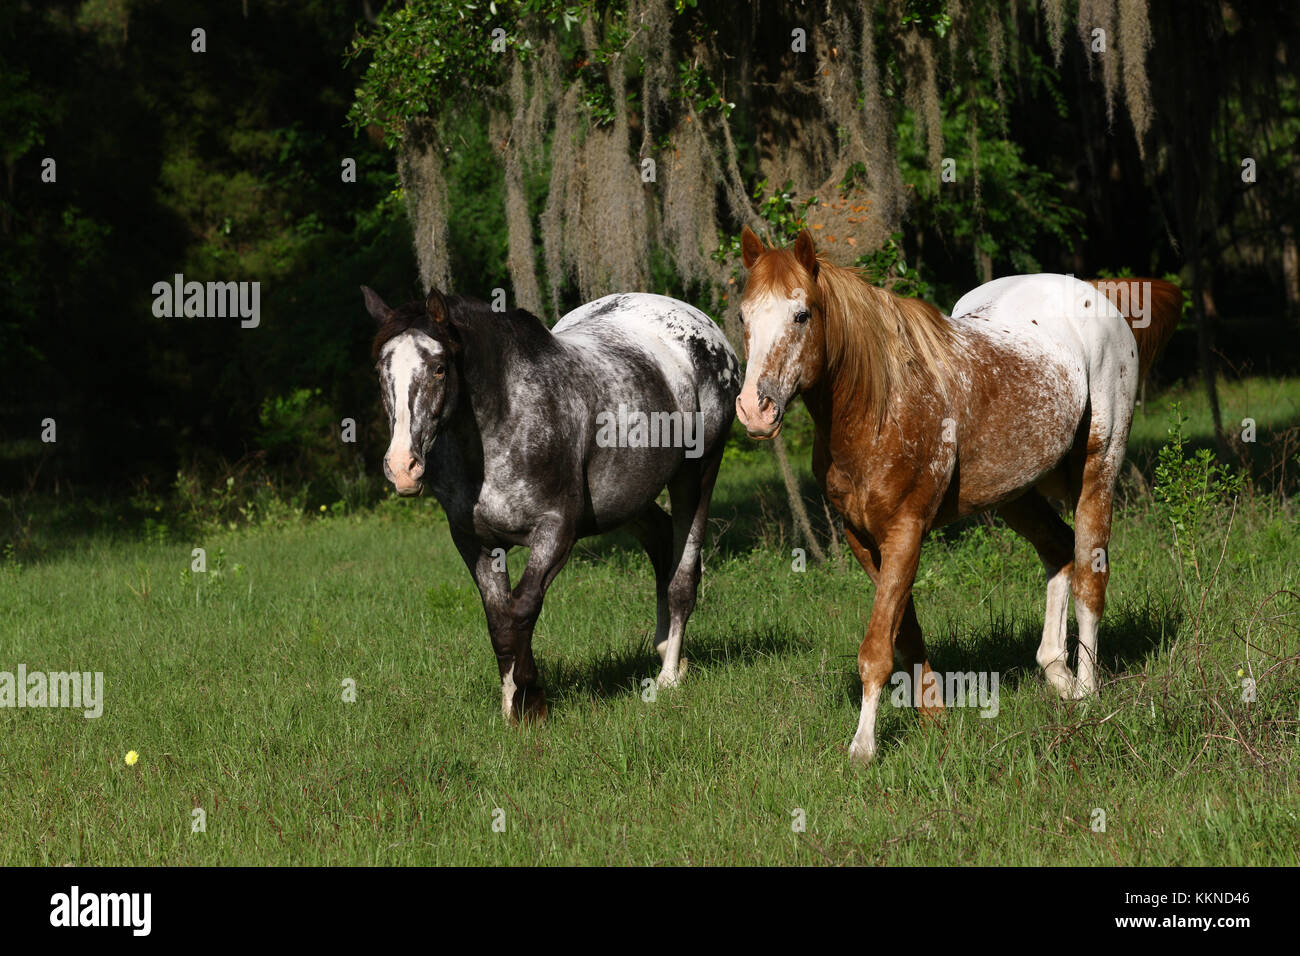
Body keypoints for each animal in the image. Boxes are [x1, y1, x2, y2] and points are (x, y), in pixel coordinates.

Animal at [362, 286, 740, 721]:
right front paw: (510, 707)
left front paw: (530, 702)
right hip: (627, 498)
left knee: (682, 578)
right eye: (381, 371)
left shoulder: (556, 531)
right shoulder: (475, 543)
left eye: (440, 368)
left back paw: (668, 678)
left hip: (697, 475)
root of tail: (704, 326)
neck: (501, 425)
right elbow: (499, 623)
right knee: (662, 546)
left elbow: (522, 608)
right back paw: (667, 656)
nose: (402, 468)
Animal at [734, 227, 1179, 764]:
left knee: (1090, 579)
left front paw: (863, 747)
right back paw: (1060, 676)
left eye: (802, 314)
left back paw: (1089, 693)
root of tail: (1097, 295)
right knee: (1058, 552)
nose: (755, 410)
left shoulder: (906, 530)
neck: (880, 403)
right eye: (743, 316)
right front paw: (934, 718)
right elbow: (903, 632)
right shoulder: (865, 539)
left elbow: (876, 649)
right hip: (1014, 493)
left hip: (1099, 469)